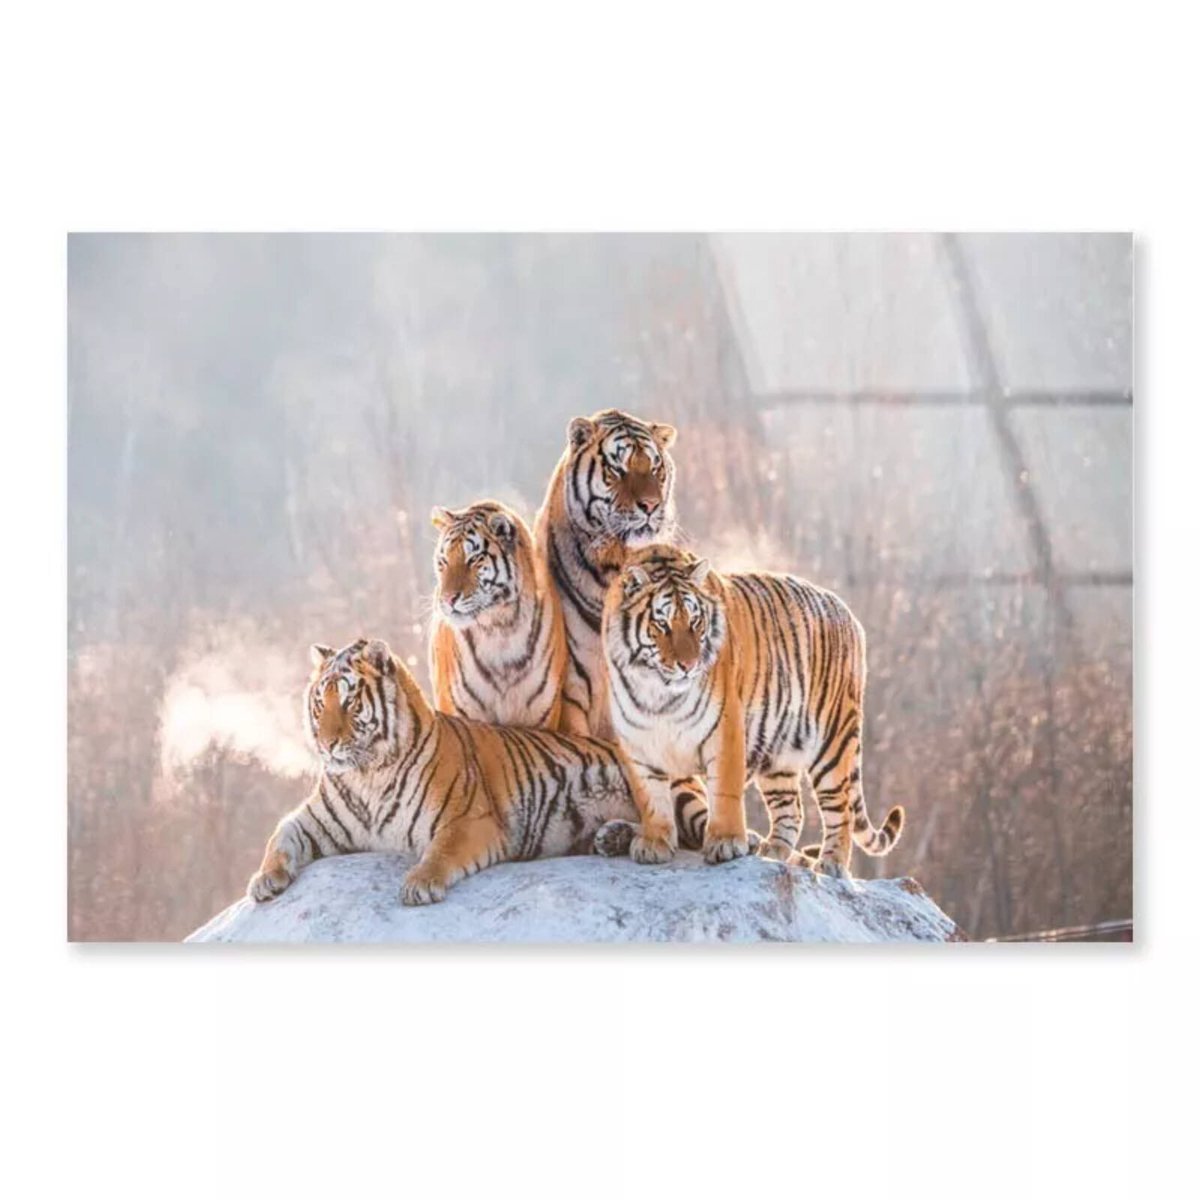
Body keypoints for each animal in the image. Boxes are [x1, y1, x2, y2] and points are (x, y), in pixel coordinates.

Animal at [247, 638, 644, 906]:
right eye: (319, 703)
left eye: (349, 702)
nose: (326, 743)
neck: (367, 776)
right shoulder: (315, 820)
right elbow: (278, 837)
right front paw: (264, 880)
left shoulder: (470, 820)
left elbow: (442, 850)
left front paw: (419, 884)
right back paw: (612, 837)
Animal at [600, 544, 904, 877]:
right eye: (662, 624)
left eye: (695, 621)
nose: (689, 665)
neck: (658, 694)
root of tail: (848, 612)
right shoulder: (637, 744)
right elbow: (651, 798)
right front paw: (654, 843)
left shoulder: (724, 731)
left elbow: (724, 793)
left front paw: (726, 844)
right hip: (779, 753)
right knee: (792, 811)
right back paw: (771, 852)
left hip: (832, 742)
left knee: (841, 808)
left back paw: (832, 863)